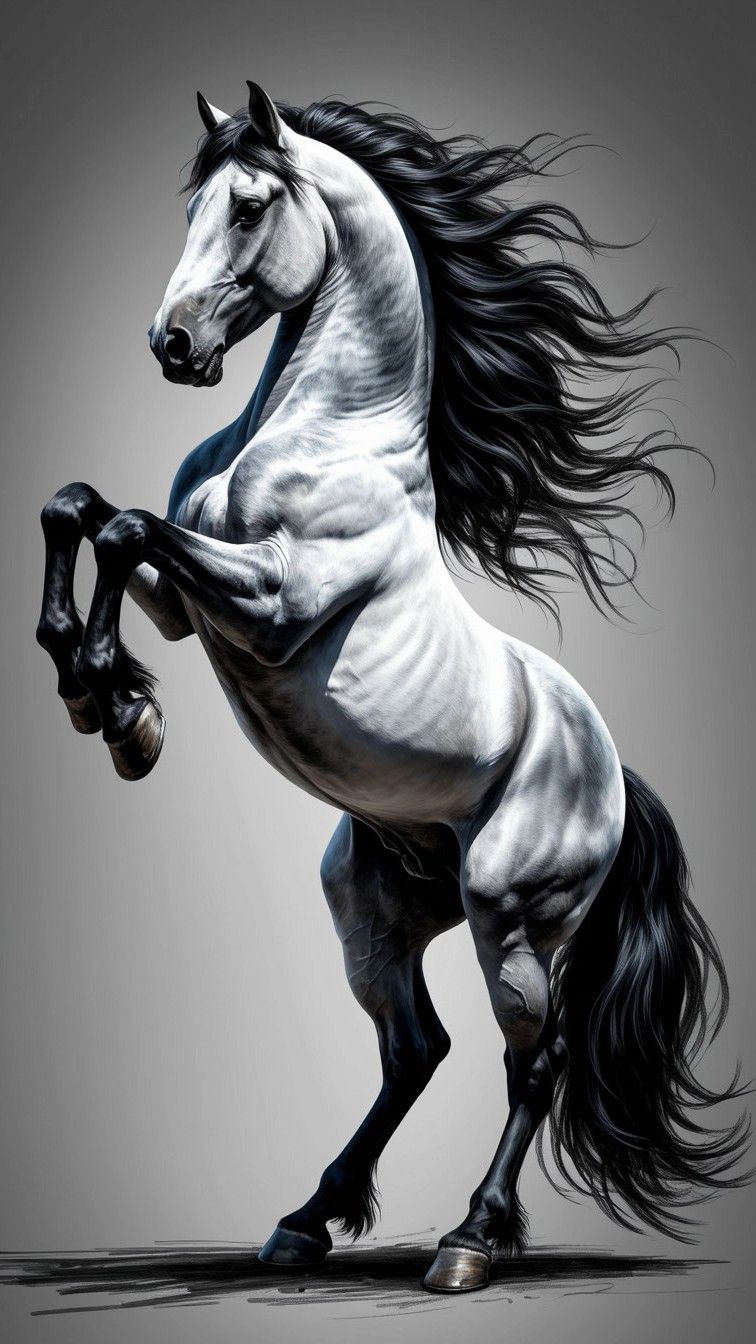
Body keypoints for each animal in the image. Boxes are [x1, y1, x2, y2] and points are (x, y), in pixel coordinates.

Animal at [36, 82, 748, 1294]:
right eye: (191, 206)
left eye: (249, 206)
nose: (173, 344)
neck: (323, 432)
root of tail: (609, 770)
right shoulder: (189, 606)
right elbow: (81, 507)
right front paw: (111, 702)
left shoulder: (271, 602)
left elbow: (125, 529)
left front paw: (118, 711)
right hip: (372, 906)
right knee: (417, 1049)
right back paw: (304, 1219)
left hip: (513, 916)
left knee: (534, 1060)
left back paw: (469, 1242)